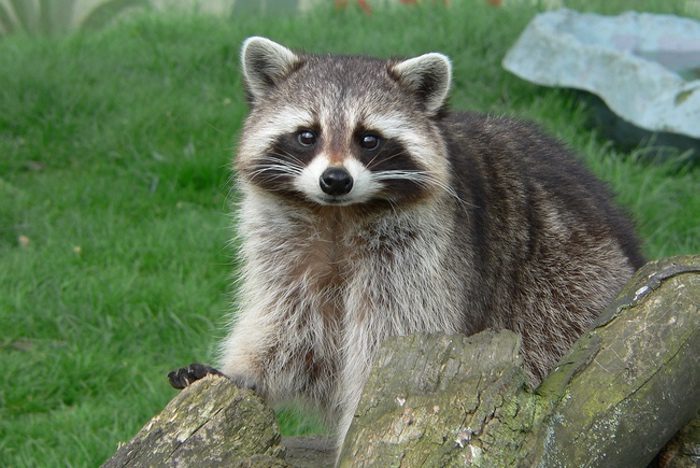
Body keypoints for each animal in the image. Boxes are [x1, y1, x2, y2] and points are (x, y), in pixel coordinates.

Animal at [170, 37, 644, 450]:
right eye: (307, 135)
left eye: (368, 138)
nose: (335, 180)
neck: (337, 215)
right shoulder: (285, 248)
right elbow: (291, 328)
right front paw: (243, 372)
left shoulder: (421, 257)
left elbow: (393, 338)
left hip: (567, 284)